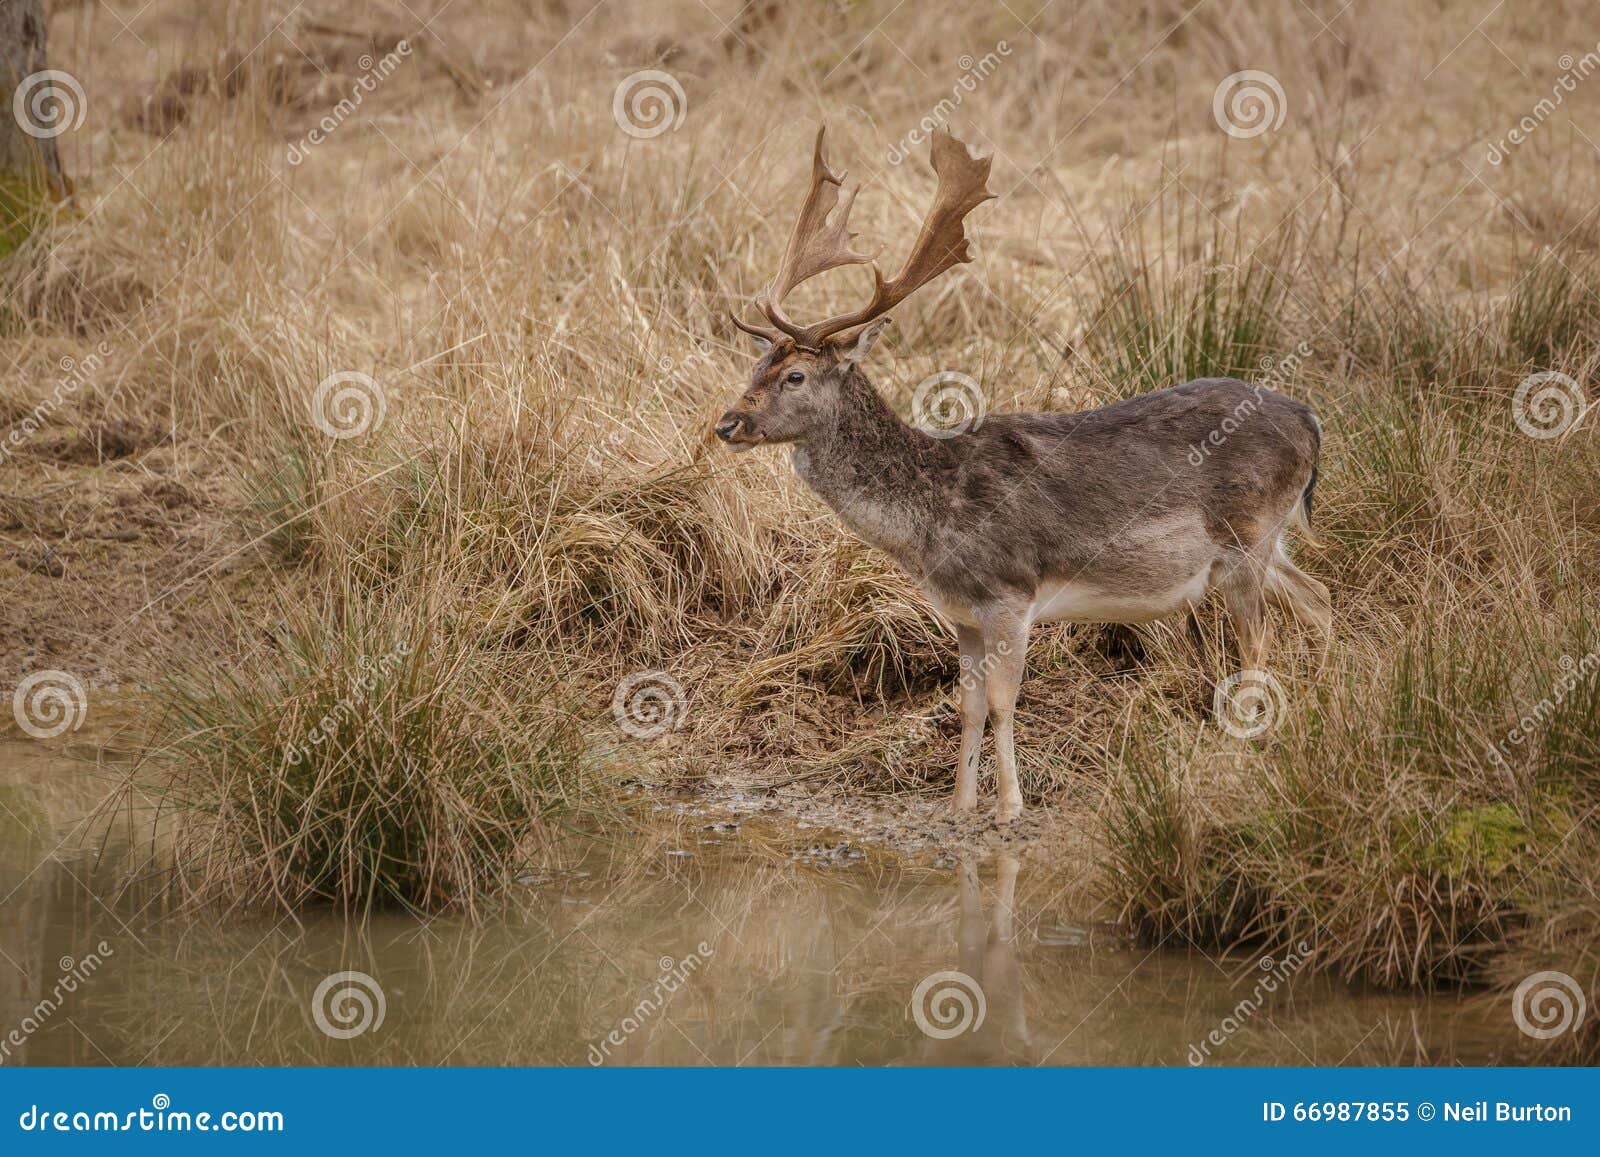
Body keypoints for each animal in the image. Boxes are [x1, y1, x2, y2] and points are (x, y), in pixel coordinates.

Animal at [715, 126, 1331, 822]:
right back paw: (1326, 707)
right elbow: (967, 706)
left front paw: (1008, 805)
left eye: (794, 376)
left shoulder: (1009, 589)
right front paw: (959, 805)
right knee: (1319, 598)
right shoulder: (959, 611)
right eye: (756, 364)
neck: (929, 525)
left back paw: (1244, 749)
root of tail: (1311, 419)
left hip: (1246, 535)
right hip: (1268, 541)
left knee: (1259, 646)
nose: (728, 423)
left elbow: (1004, 700)